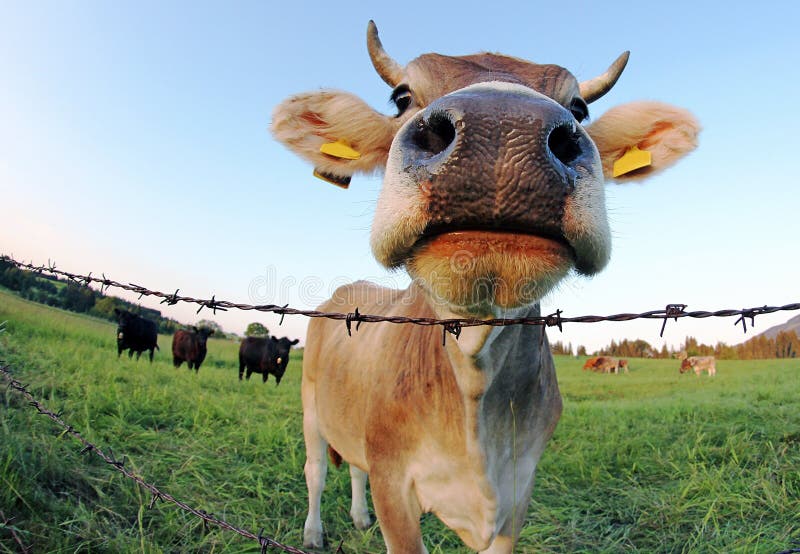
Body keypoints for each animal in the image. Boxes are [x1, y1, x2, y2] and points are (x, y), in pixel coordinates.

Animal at [271, 21, 699, 552]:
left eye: (580, 107)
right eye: (401, 96)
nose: (501, 128)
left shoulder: (518, 492)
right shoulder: (393, 481)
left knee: (352, 466)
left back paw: (358, 517)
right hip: (310, 401)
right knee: (316, 470)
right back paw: (313, 532)